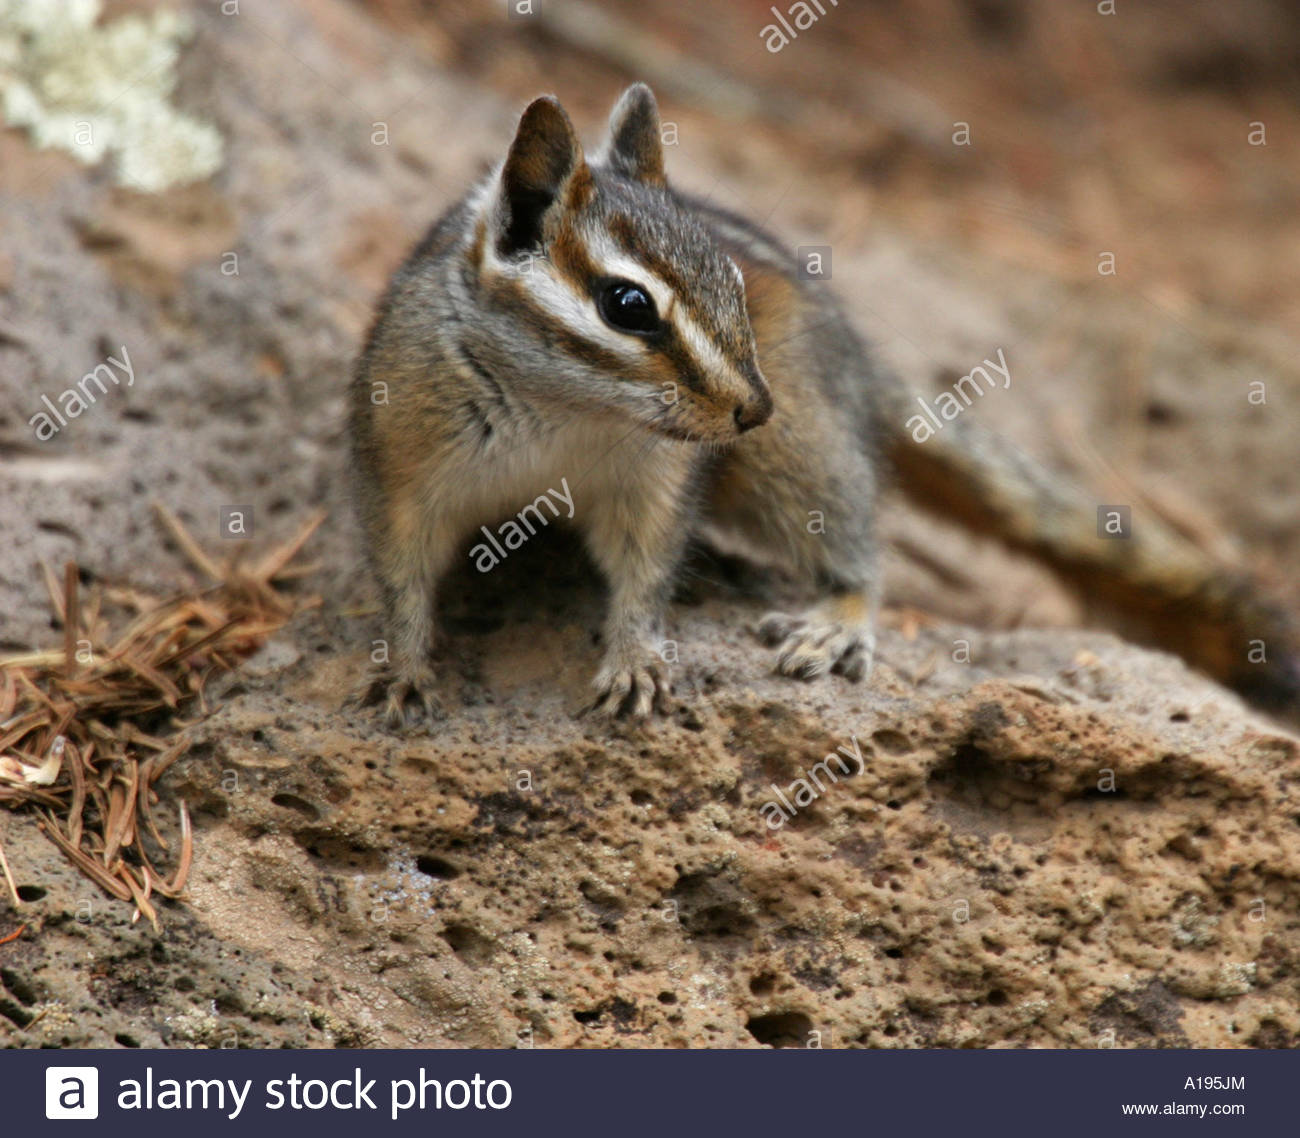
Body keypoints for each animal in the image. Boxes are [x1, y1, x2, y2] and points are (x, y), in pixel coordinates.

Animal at [349, 84, 884, 726]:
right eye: (628, 305)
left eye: (734, 281)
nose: (757, 410)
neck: (562, 411)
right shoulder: (397, 470)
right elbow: (400, 575)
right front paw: (403, 668)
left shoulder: (654, 486)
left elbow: (645, 572)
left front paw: (633, 659)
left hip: (799, 448)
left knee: (855, 548)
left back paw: (835, 625)